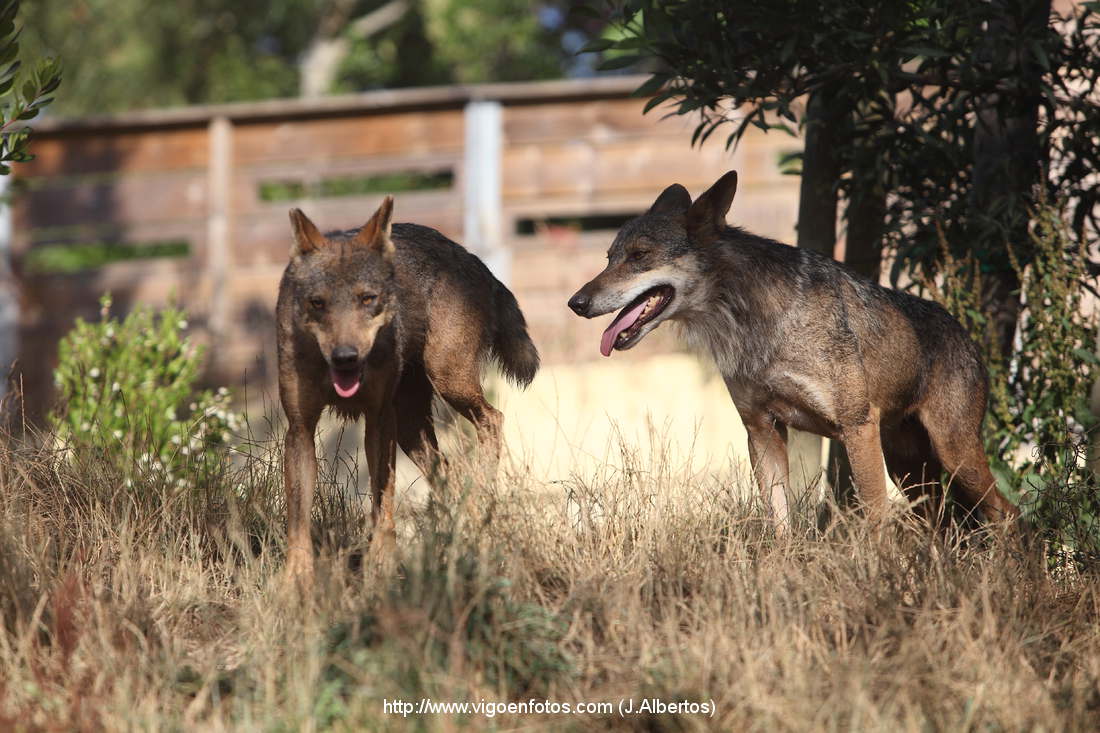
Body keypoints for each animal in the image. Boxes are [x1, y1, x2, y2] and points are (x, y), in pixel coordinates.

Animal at [276, 196, 539, 580]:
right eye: (317, 303)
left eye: (367, 299)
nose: (345, 357)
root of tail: (473, 258)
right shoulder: (300, 428)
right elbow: (298, 521)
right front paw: (295, 580)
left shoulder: (378, 419)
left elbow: (382, 502)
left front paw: (381, 565)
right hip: (413, 430)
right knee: (448, 474)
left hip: (448, 383)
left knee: (493, 420)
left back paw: (480, 499)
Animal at [567, 170, 1019, 528]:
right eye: (609, 258)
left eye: (640, 256)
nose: (576, 303)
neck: (759, 325)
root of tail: (965, 332)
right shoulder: (761, 430)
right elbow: (779, 526)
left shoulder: (856, 428)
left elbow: (874, 522)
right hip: (912, 474)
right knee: (946, 522)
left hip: (952, 457)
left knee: (1005, 512)